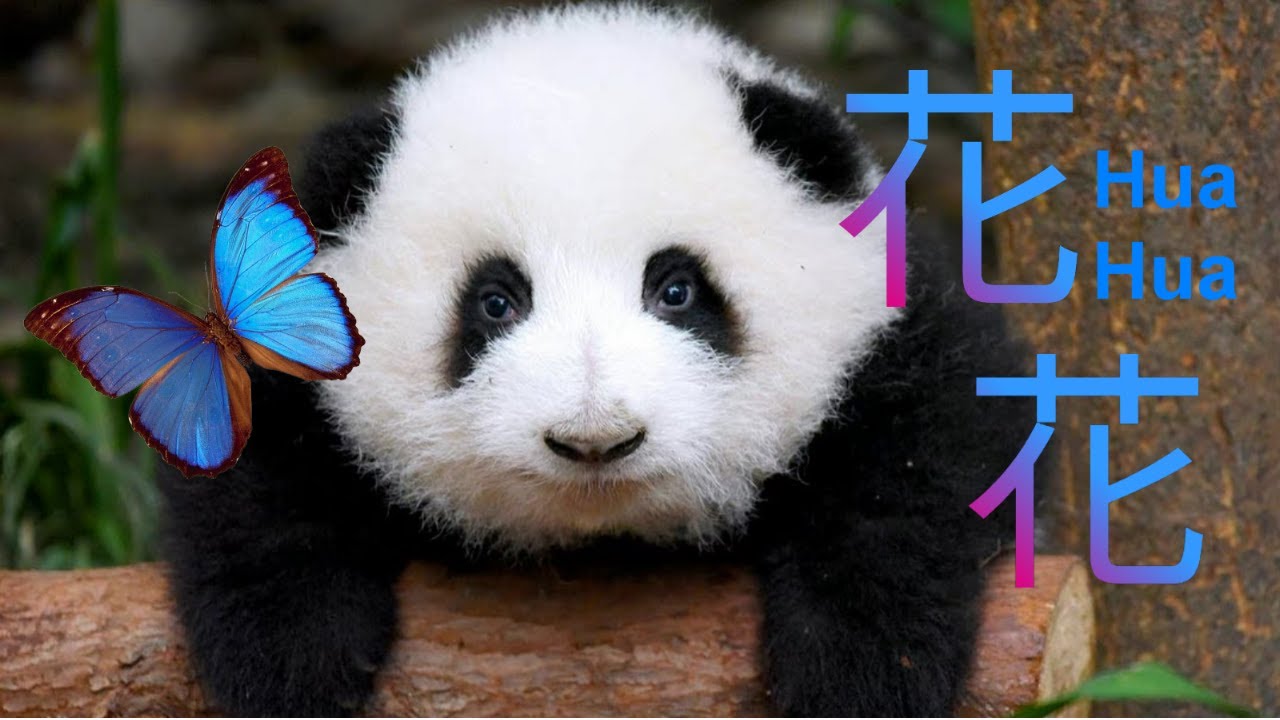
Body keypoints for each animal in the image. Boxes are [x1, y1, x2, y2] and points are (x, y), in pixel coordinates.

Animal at [159, 4, 1027, 717]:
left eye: (677, 288)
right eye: (495, 302)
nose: (595, 440)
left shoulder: (898, 331)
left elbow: (920, 470)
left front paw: (862, 673)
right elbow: (253, 476)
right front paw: (295, 663)